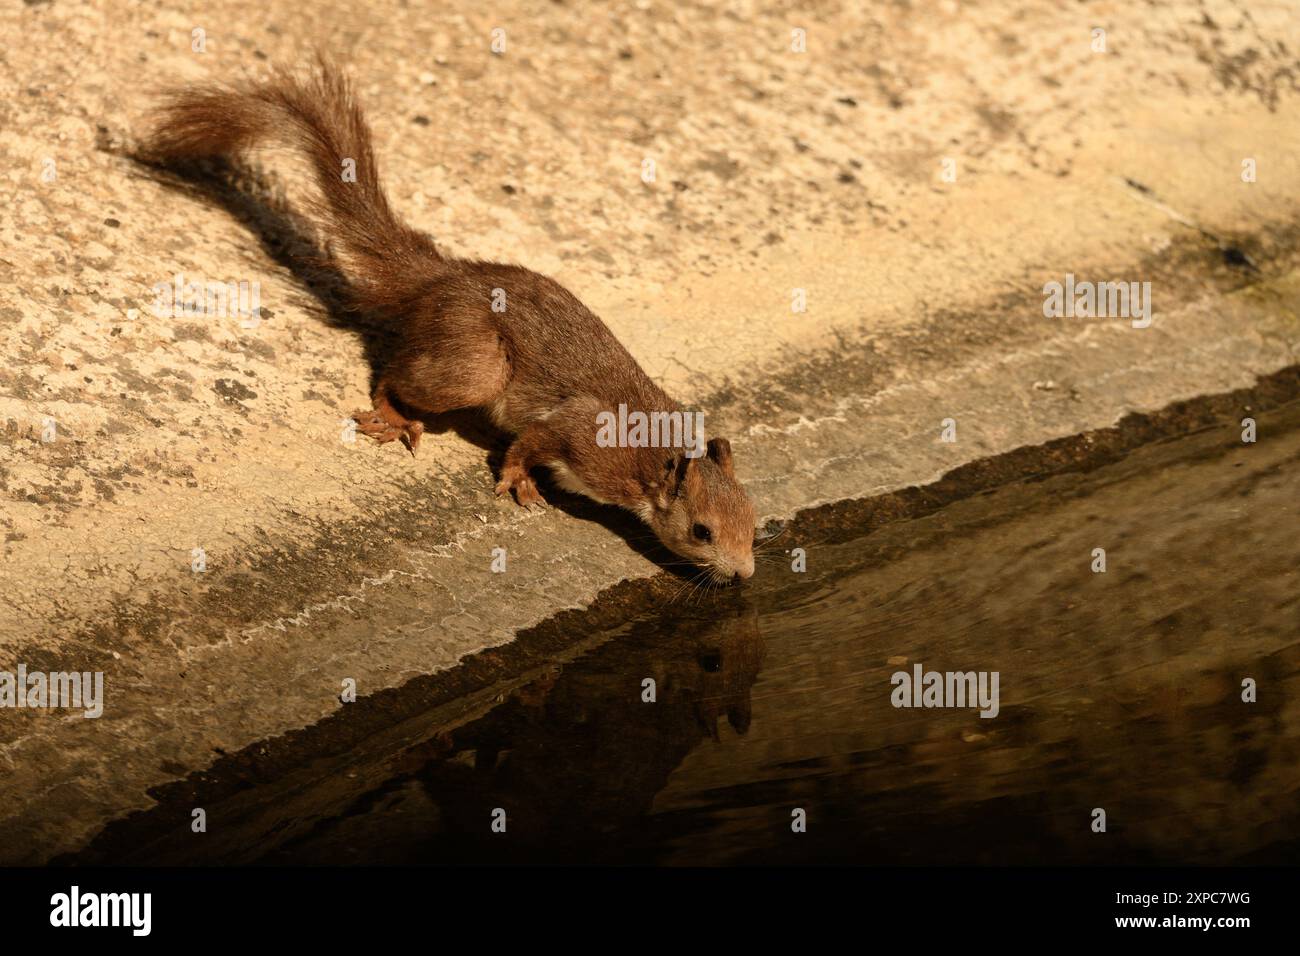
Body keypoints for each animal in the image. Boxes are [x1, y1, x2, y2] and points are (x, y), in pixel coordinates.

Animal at [142, 58, 756, 582]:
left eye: (753, 517)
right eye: (701, 531)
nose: (745, 574)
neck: (652, 456)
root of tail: (441, 279)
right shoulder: (583, 436)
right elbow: (528, 443)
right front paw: (519, 482)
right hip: (472, 364)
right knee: (395, 372)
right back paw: (394, 417)